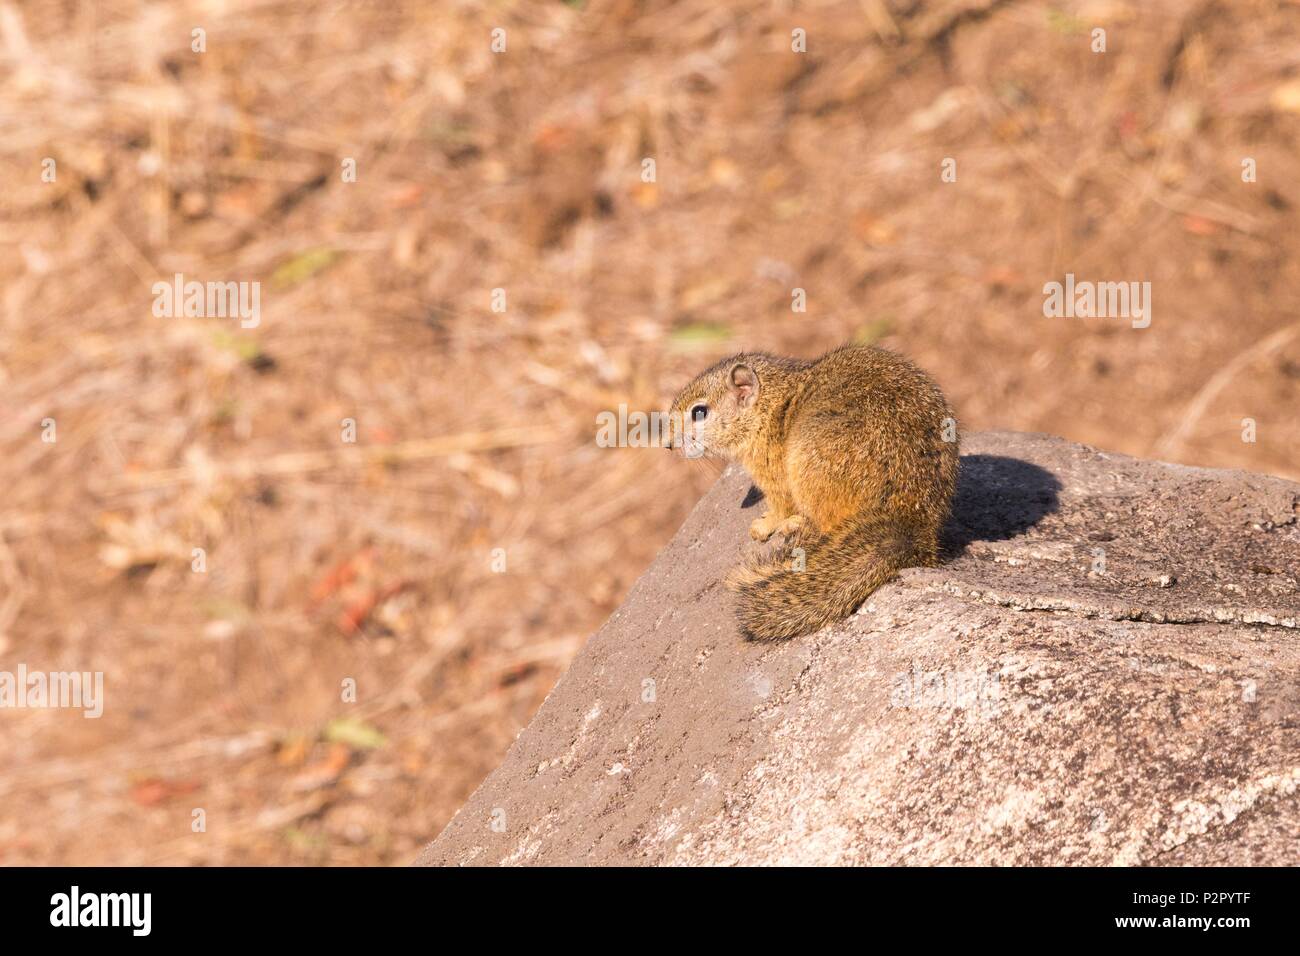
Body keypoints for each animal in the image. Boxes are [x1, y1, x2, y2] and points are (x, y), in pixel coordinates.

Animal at [666, 344, 959, 641]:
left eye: (699, 412)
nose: (668, 444)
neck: (769, 406)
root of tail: (910, 517)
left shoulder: (774, 476)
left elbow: (780, 505)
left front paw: (765, 525)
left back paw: (796, 524)